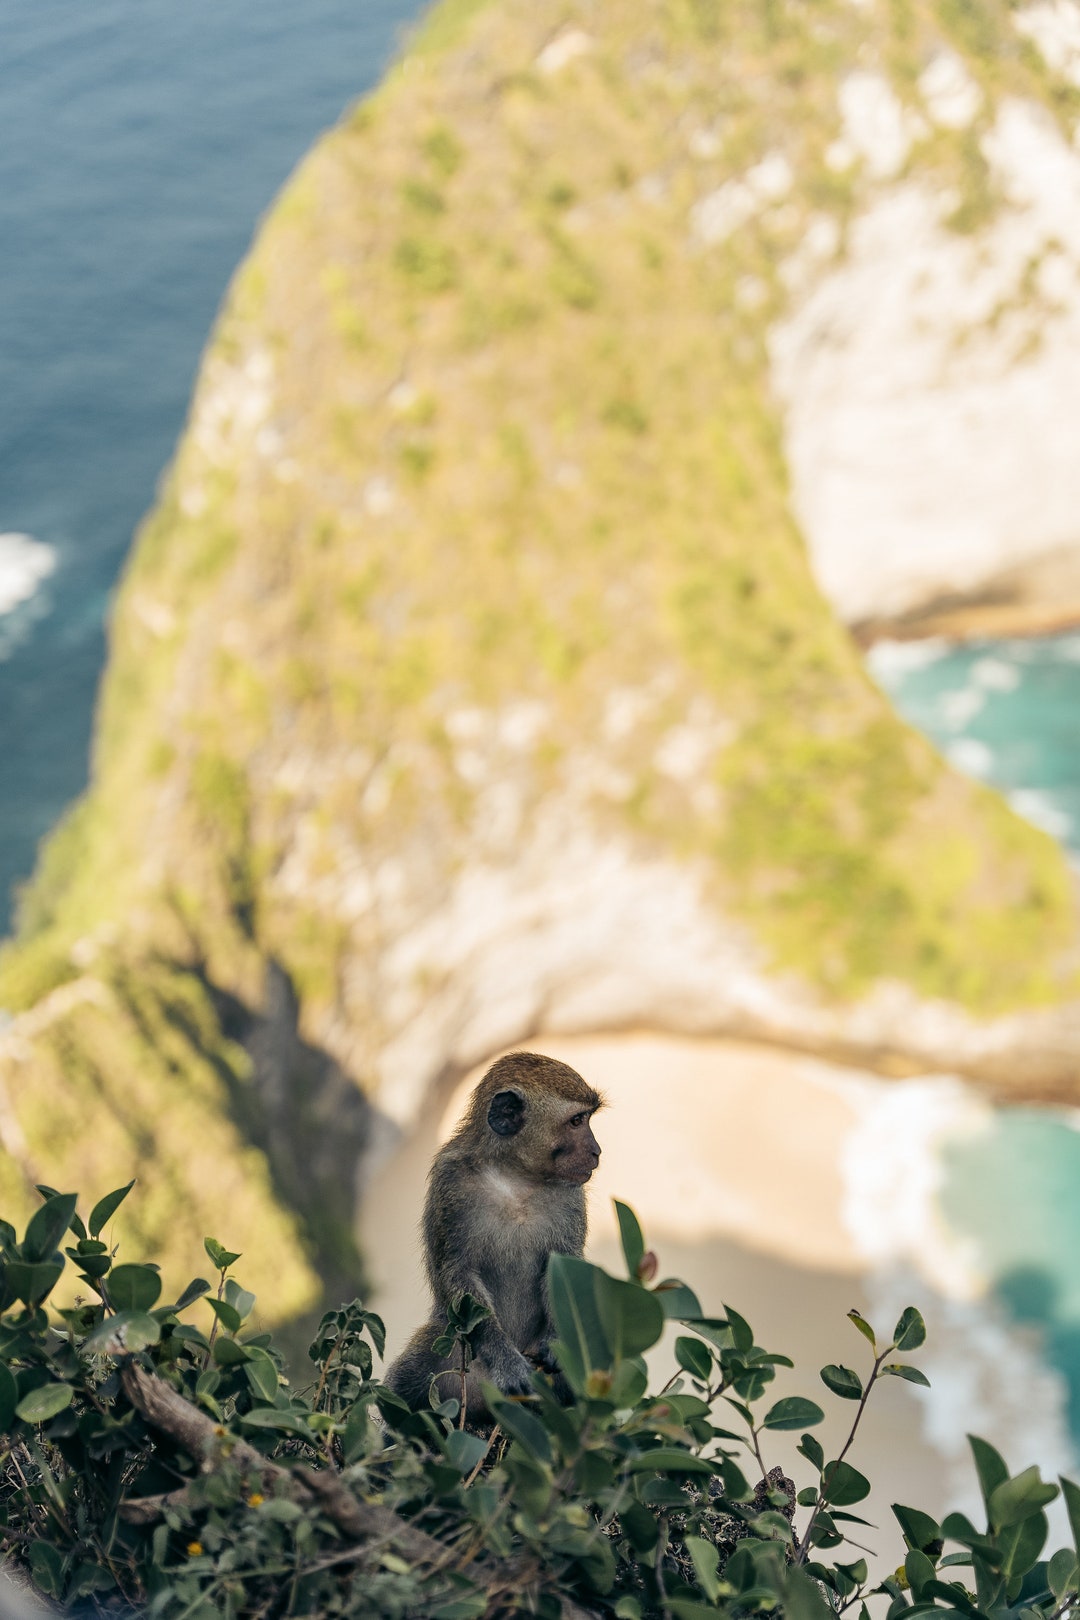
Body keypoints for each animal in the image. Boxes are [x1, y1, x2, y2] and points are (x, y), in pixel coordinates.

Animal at [384, 1051, 602, 1418]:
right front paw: (506, 1361)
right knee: (404, 1382)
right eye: (576, 1121)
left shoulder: (571, 1196)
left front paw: (556, 1341)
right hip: (451, 1350)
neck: (515, 1176)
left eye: (586, 1119)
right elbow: (458, 1271)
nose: (597, 1151)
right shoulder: (451, 1182)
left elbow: (564, 1266)